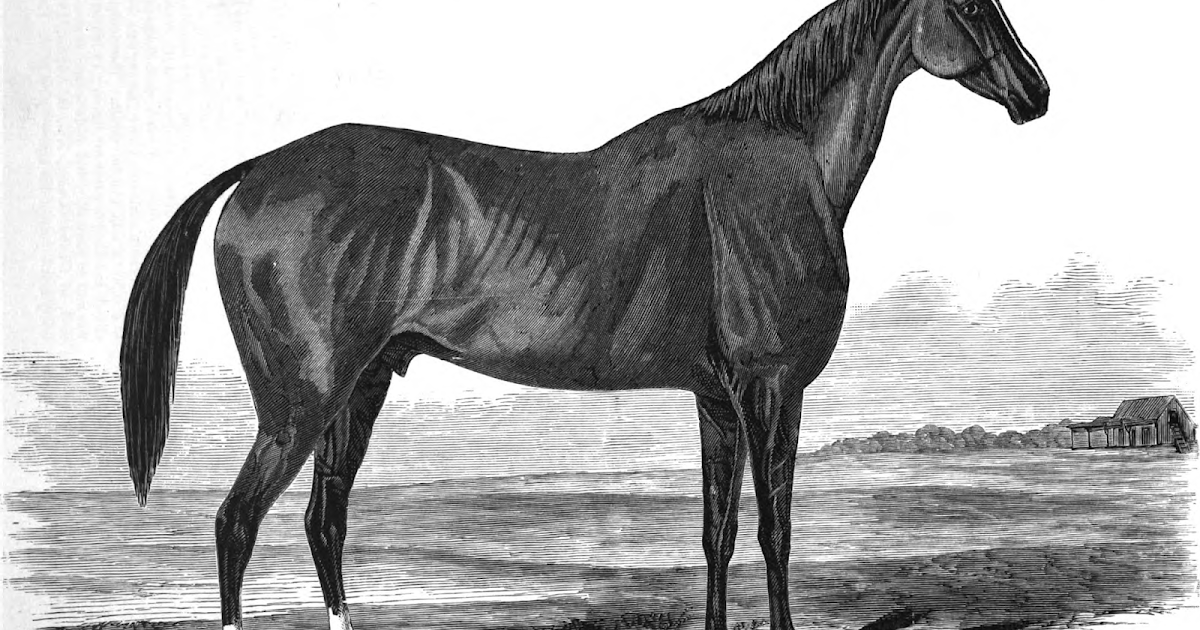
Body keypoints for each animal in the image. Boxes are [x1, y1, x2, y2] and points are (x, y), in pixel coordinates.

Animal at [120, 1, 1048, 629]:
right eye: (970, 5)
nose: (1036, 92)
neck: (780, 164)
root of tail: (257, 170)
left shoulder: (717, 401)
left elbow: (719, 533)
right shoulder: (771, 389)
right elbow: (776, 532)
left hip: (360, 388)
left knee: (323, 520)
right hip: (300, 402)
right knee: (238, 523)